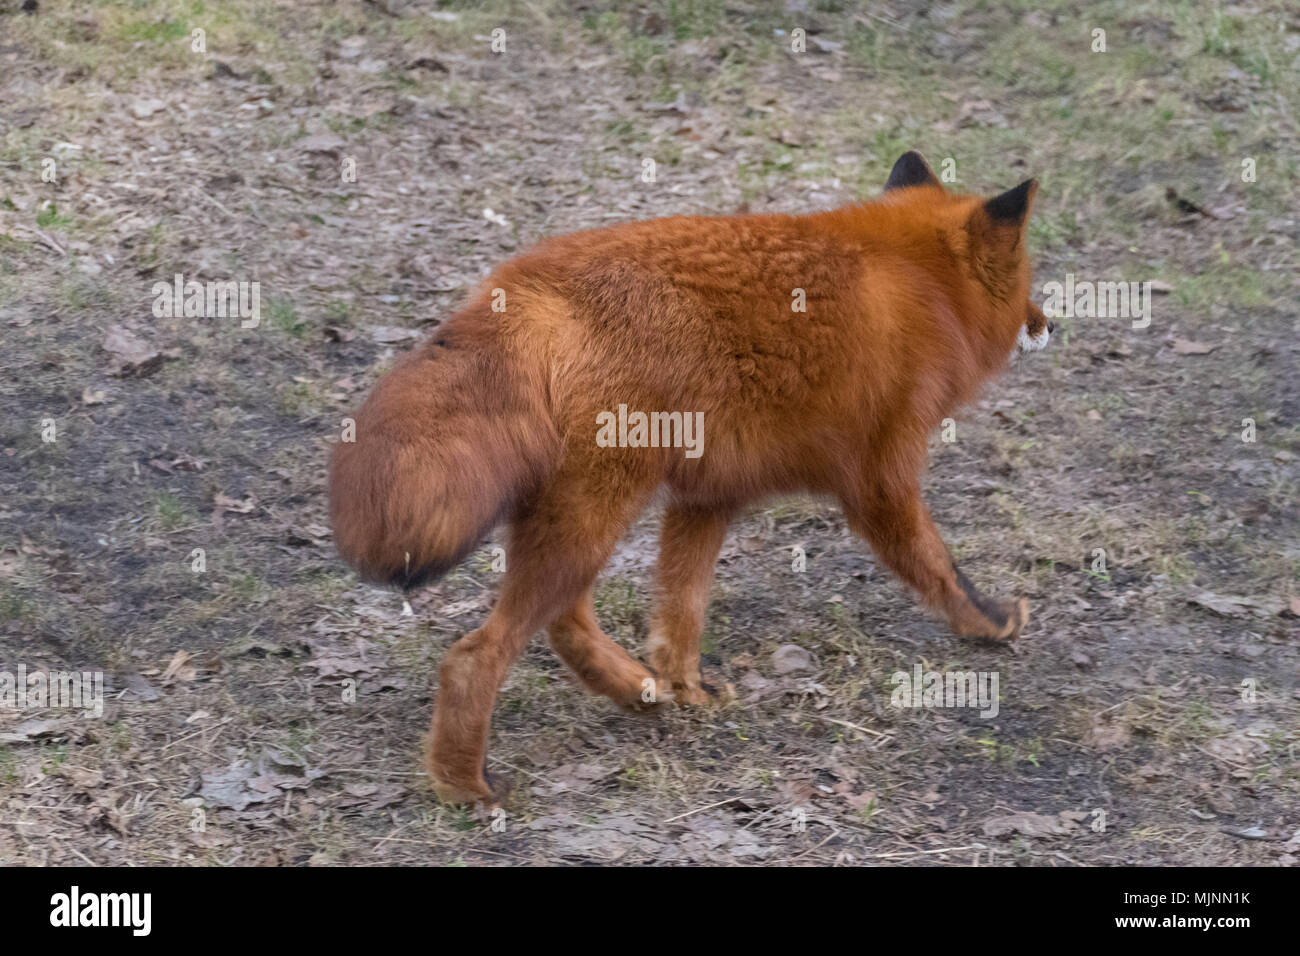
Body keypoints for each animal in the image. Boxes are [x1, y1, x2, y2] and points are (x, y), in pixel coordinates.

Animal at [330, 152, 1052, 805]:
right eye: (1029, 280)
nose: (1049, 322)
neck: (921, 285)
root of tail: (523, 285)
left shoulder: (706, 499)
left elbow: (680, 617)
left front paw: (686, 691)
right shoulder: (881, 483)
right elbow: (942, 570)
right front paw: (990, 624)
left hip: (580, 515)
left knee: (563, 624)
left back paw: (637, 692)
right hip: (596, 513)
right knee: (476, 655)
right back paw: (465, 787)